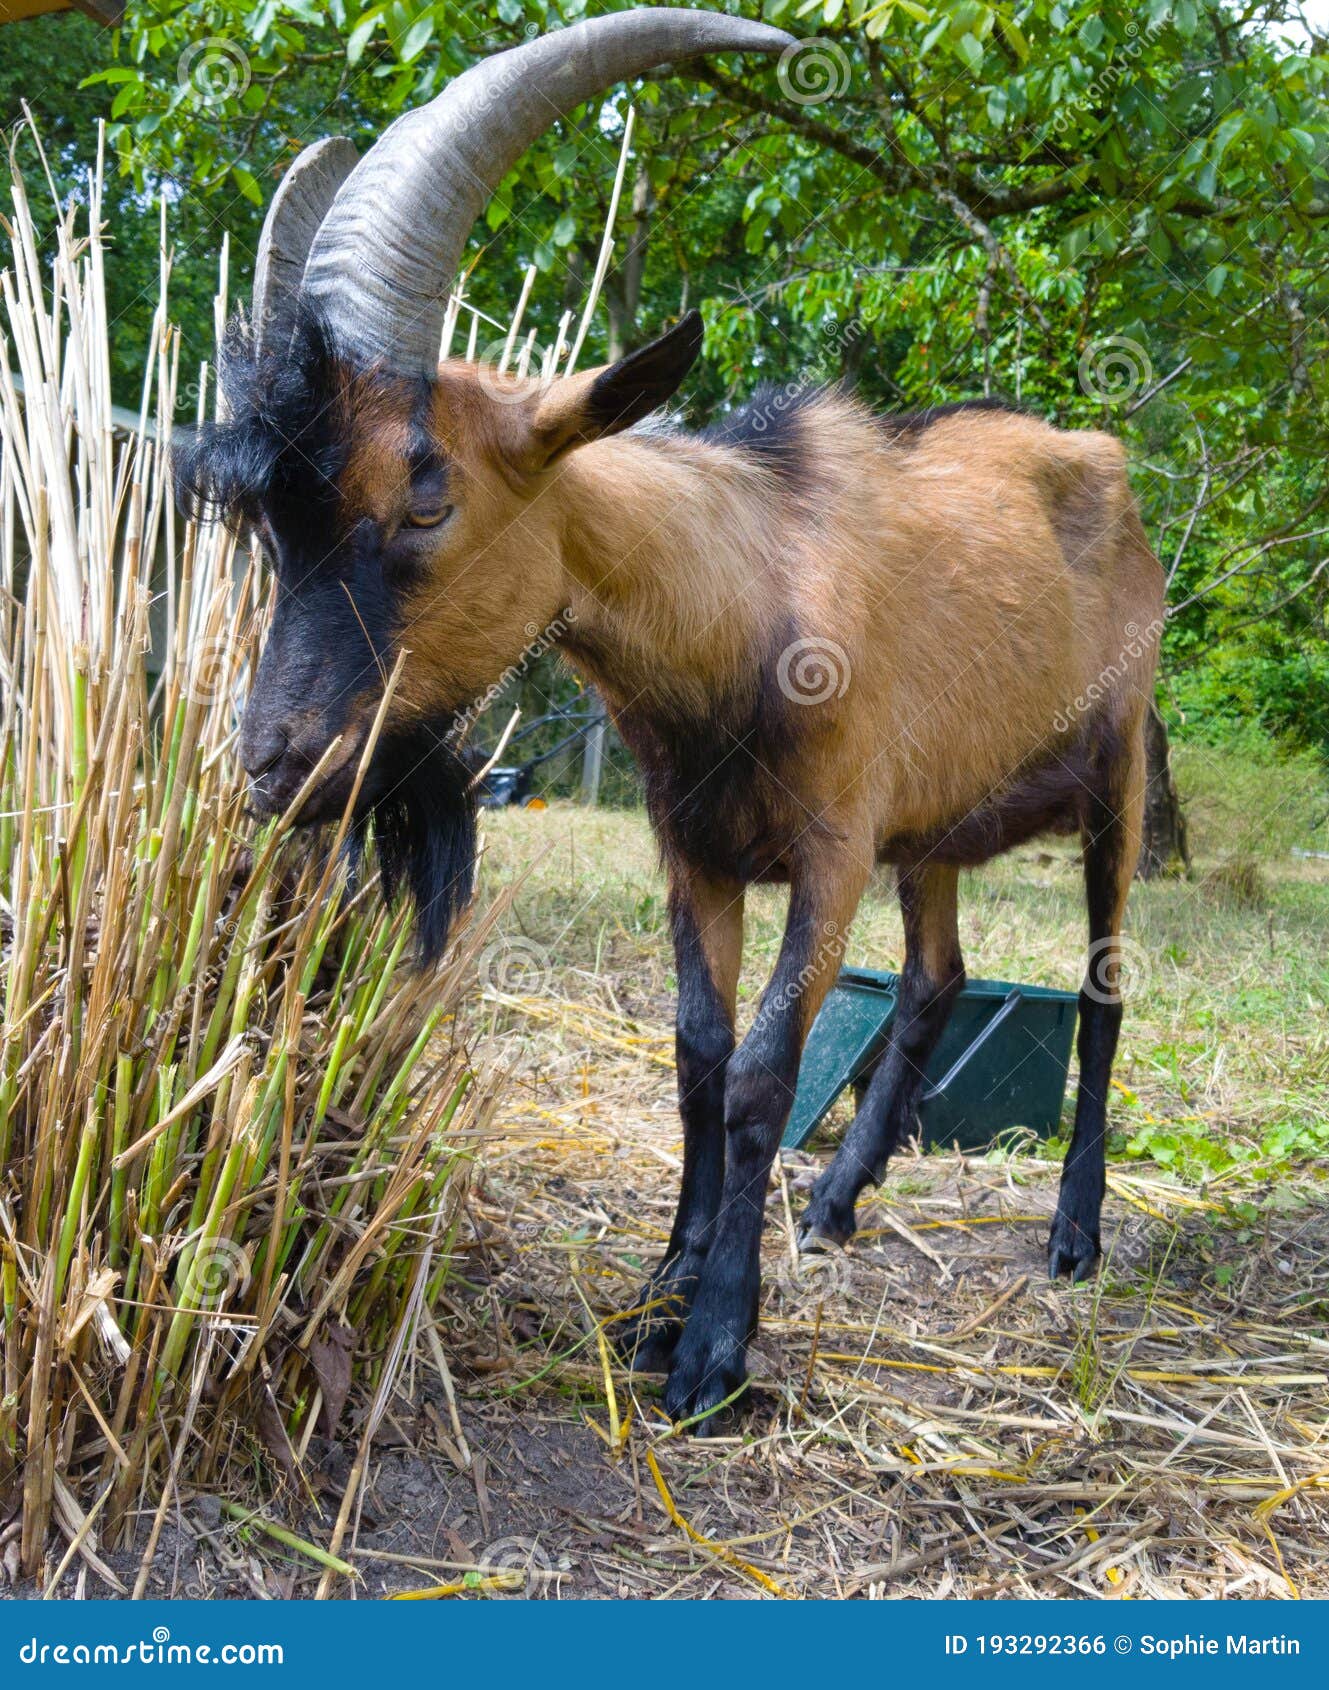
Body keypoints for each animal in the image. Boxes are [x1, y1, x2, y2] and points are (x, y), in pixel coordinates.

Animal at [175, 9, 1165, 1432]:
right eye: (270, 521)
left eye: (426, 496)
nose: (277, 764)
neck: (743, 605)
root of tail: (1106, 471)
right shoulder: (695, 846)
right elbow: (695, 1058)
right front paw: (661, 1288)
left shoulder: (830, 849)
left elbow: (758, 1078)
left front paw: (714, 1346)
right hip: (934, 827)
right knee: (937, 977)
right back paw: (836, 1204)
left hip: (1117, 776)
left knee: (1100, 984)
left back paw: (1073, 1235)